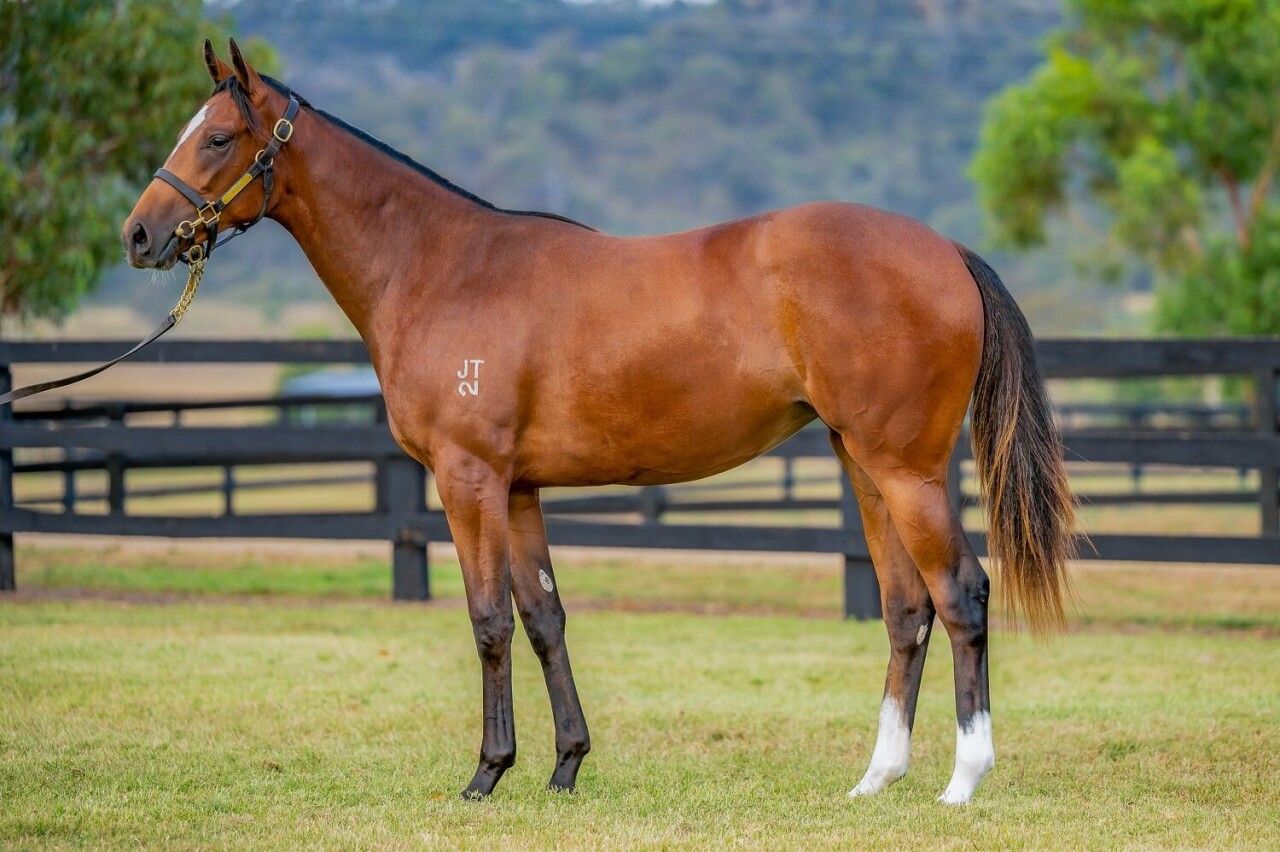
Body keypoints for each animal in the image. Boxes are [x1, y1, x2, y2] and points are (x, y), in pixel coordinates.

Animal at [123, 40, 1074, 805]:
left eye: (217, 137)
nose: (139, 235)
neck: (439, 266)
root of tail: (944, 251)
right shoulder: (519, 491)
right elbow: (544, 618)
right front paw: (565, 765)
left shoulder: (468, 480)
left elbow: (489, 621)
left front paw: (486, 774)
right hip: (862, 466)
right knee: (907, 608)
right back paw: (878, 777)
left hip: (906, 469)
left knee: (961, 594)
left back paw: (962, 780)